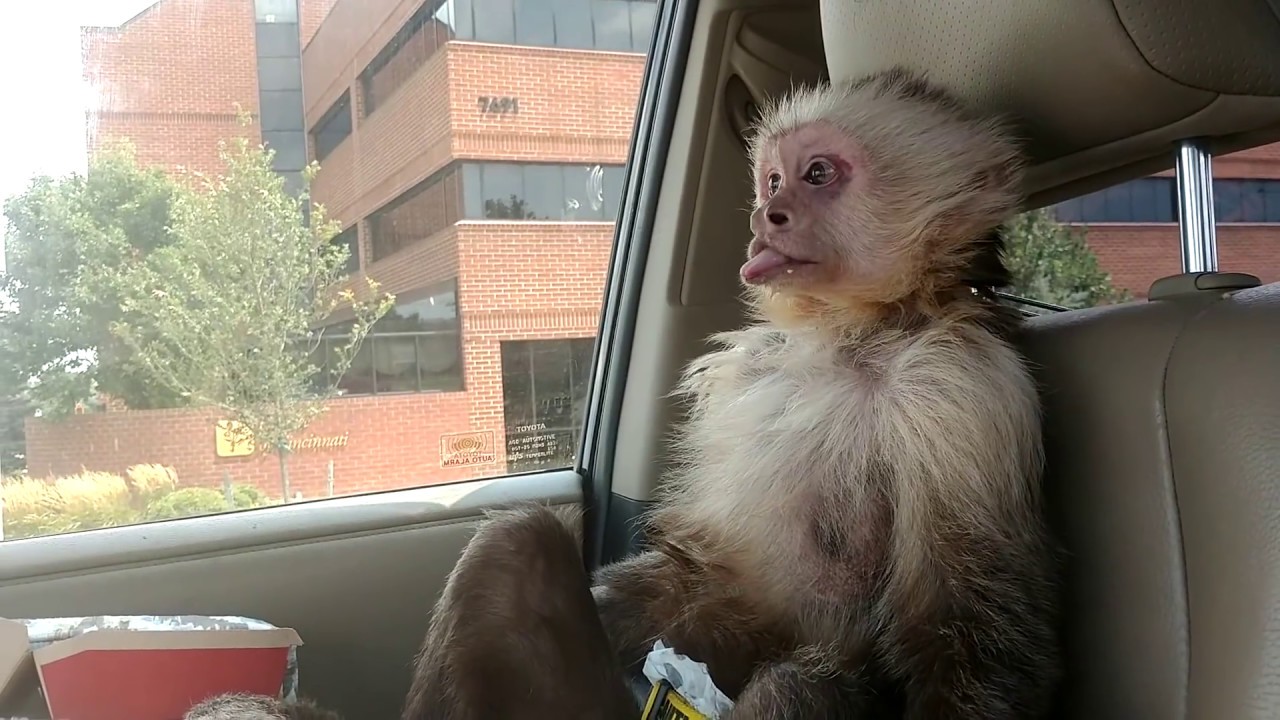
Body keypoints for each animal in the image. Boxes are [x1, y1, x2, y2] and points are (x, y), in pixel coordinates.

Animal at [401, 65, 1063, 719]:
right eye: (772, 180)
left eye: (817, 173)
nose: (765, 215)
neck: (852, 333)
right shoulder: (753, 366)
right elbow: (691, 569)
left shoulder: (960, 385)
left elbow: (964, 627)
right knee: (512, 548)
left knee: (796, 688)